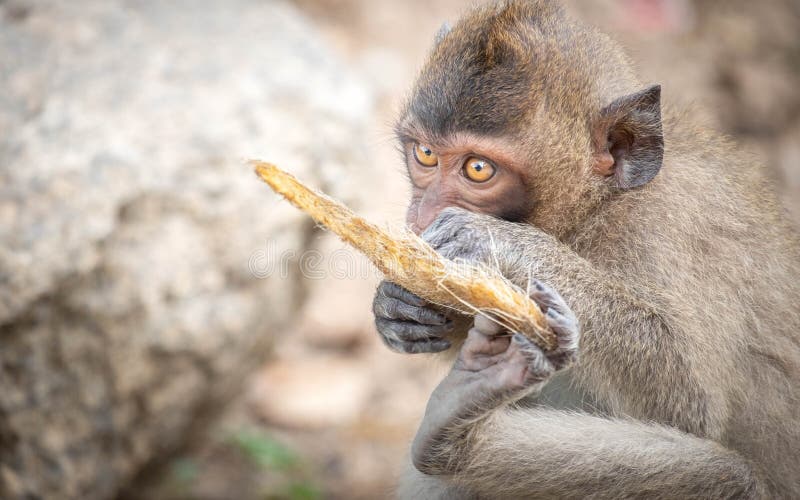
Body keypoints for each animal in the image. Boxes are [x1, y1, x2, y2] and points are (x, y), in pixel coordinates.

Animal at [371, 1, 800, 498]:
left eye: (478, 169)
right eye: (425, 154)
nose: (420, 218)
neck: (599, 208)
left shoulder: (661, 228)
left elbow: (692, 406)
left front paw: (487, 239)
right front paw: (398, 306)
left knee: (729, 476)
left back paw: (456, 434)